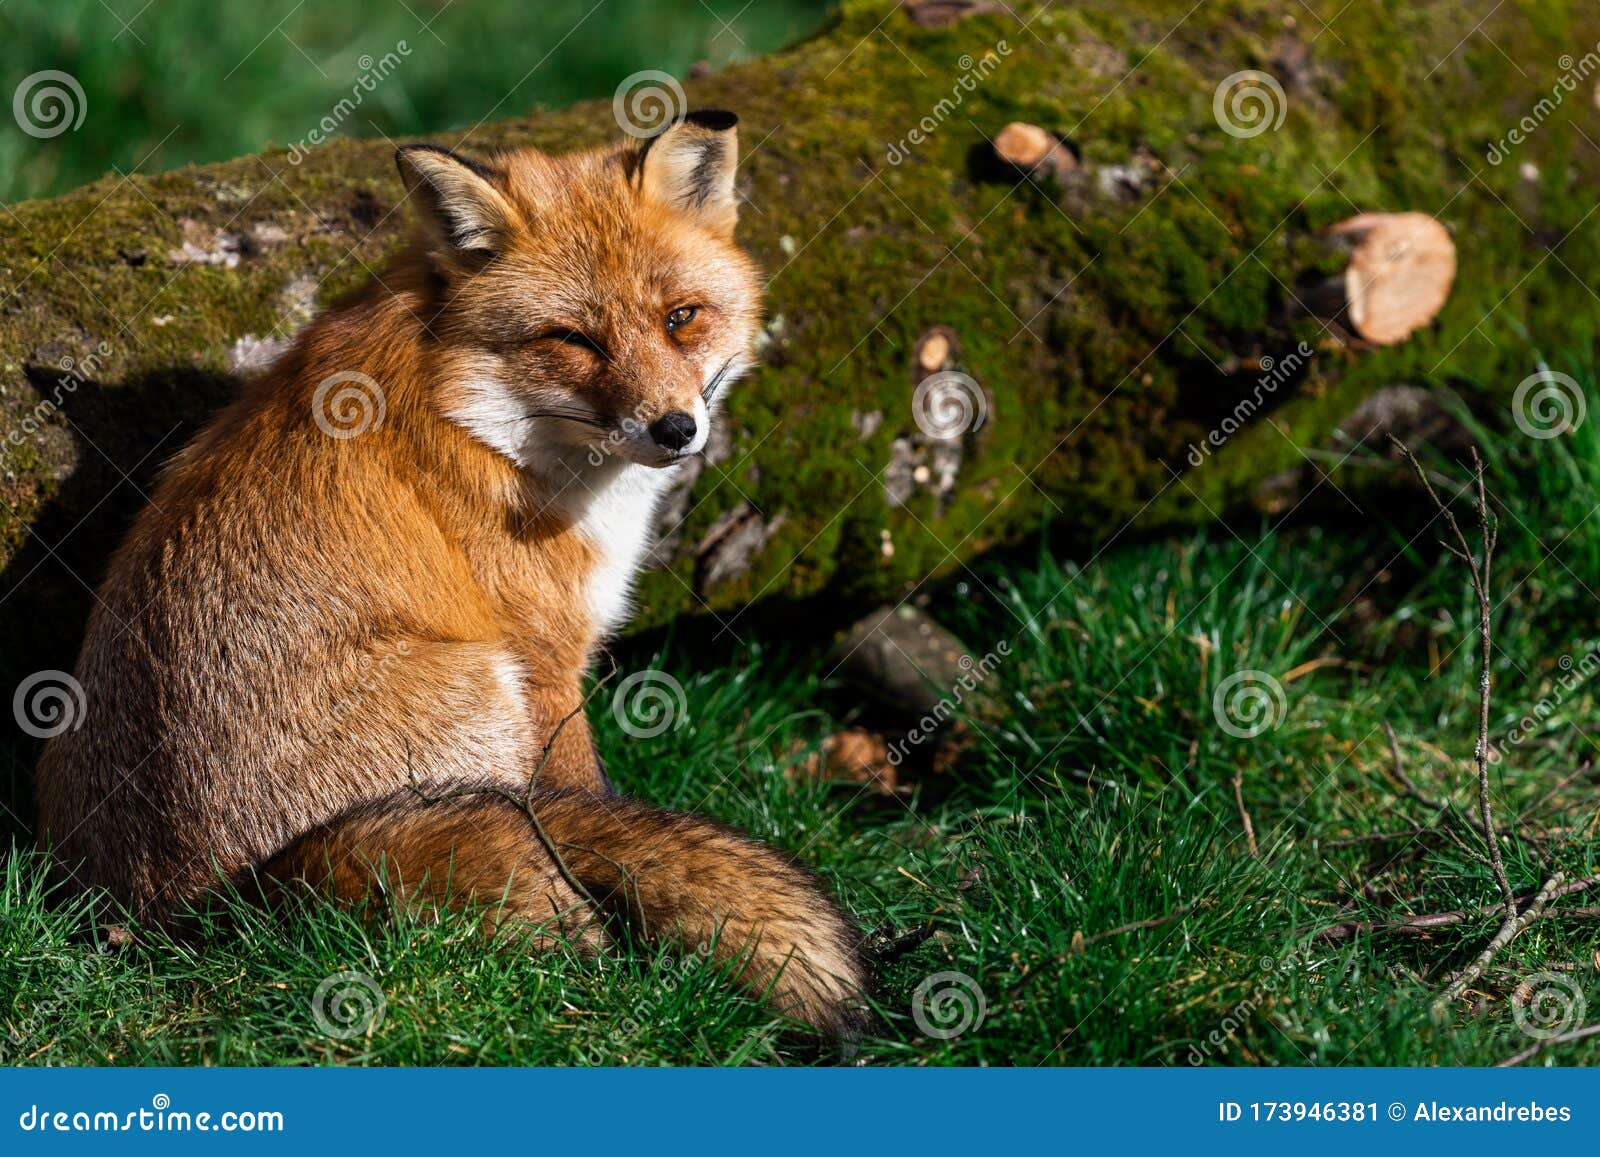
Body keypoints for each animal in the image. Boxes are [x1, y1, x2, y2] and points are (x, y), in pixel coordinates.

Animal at [33, 110, 868, 1036]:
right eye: (572, 339)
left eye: (682, 317)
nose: (675, 428)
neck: (480, 409)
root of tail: (193, 915)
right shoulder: (545, 657)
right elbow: (585, 790)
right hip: (482, 683)